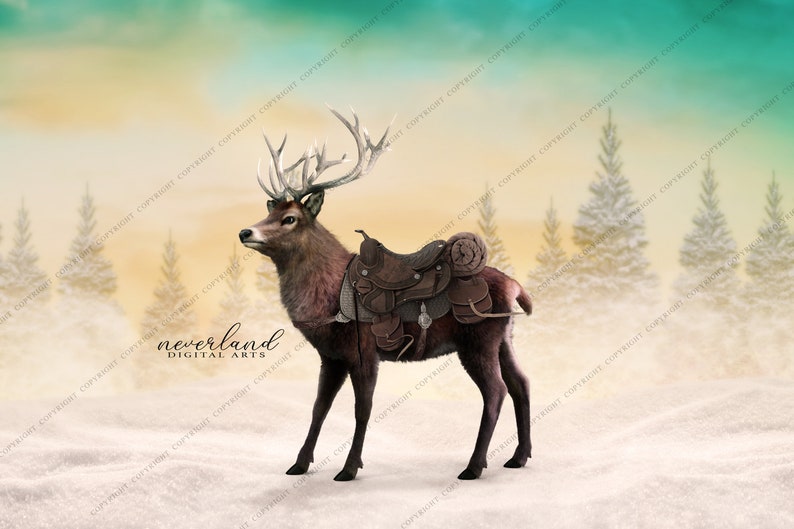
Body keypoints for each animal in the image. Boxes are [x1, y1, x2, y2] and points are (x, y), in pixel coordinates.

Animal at [239, 108, 532, 481]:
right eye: (270, 211)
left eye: (289, 218)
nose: (245, 231)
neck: (325, 299)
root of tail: (516, 286)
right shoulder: (331, 356)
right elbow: (319, 407)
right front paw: (299, 463)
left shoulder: (363, 351)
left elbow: (362, 410)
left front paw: (349, 468)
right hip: (504, 338)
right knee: (522, 383)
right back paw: (518, 457)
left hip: (477, 341)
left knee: (496, 391)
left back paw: (474, 466)